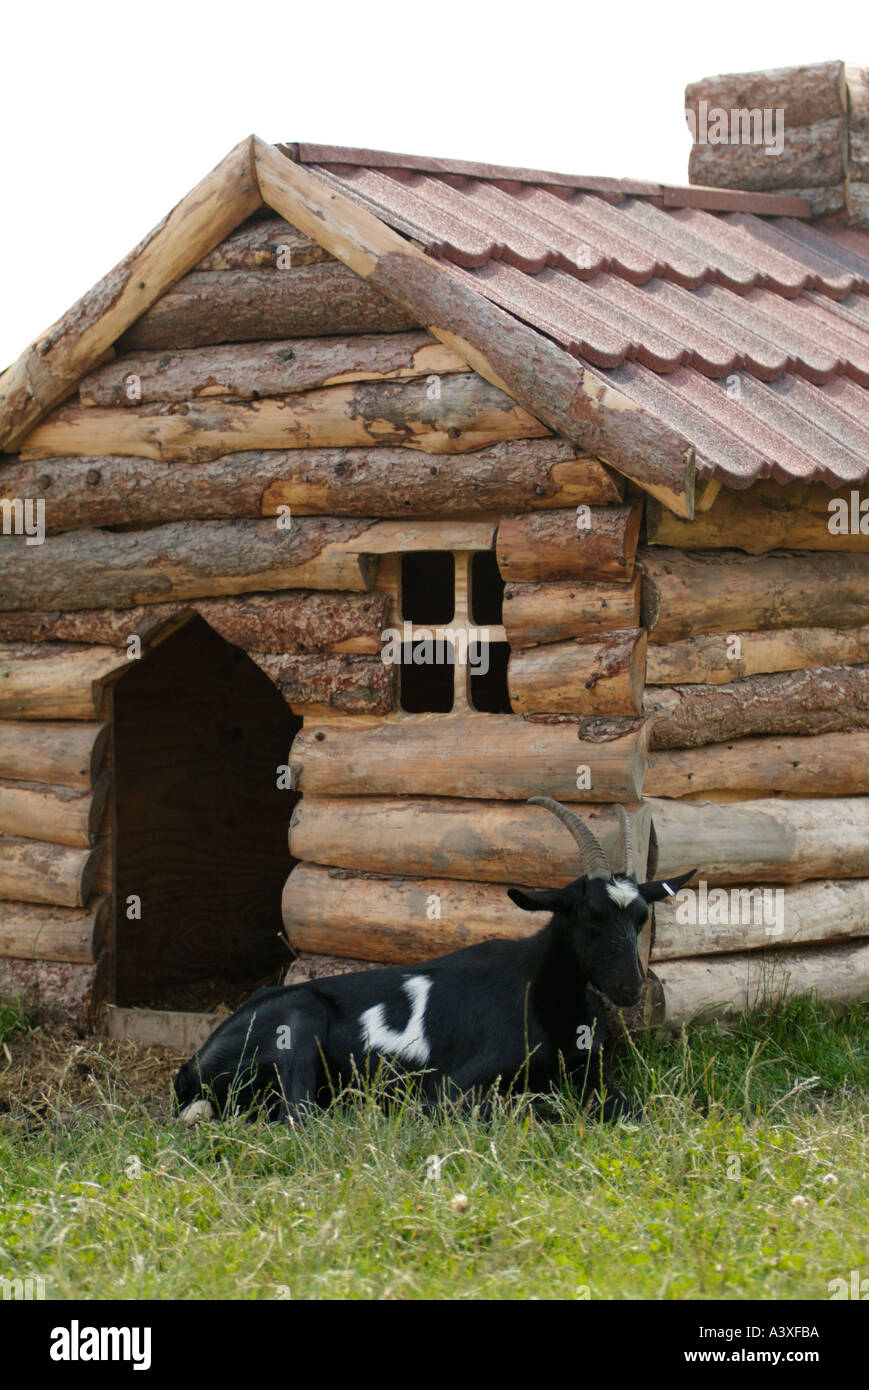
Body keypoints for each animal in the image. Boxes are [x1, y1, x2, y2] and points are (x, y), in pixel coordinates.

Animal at [173, 798, 696, 1125]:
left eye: (641, 916)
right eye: (588, 916)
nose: (630, 987)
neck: (546, 1001)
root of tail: (191, 1070)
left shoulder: (593, 1077)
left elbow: (627, 1105)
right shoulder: (452, 1089)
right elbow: (515, 1105)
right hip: (296, 1024)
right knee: (300, 1117)